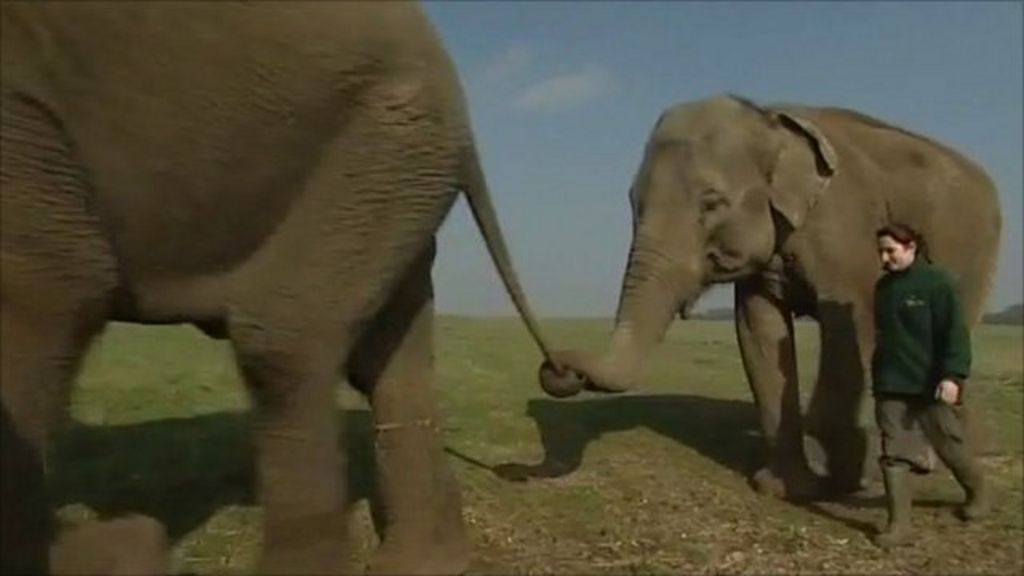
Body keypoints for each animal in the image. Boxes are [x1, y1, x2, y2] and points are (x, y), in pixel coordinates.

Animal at [1, 3, 557, 574]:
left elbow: (48, 288)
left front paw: (107, 546)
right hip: (397, 160)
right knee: (387, 355)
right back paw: (422, 563)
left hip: (389, 133)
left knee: (283, 339)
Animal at [539, 94, 1001, 501]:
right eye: (634, 203)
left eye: (712, 203)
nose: (558, 368)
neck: (768, 121)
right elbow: (759, 331)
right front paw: (785, 489)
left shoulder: (846, 231)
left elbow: (851, 322)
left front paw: (844, 476)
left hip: (976, 252)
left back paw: (923, 461)